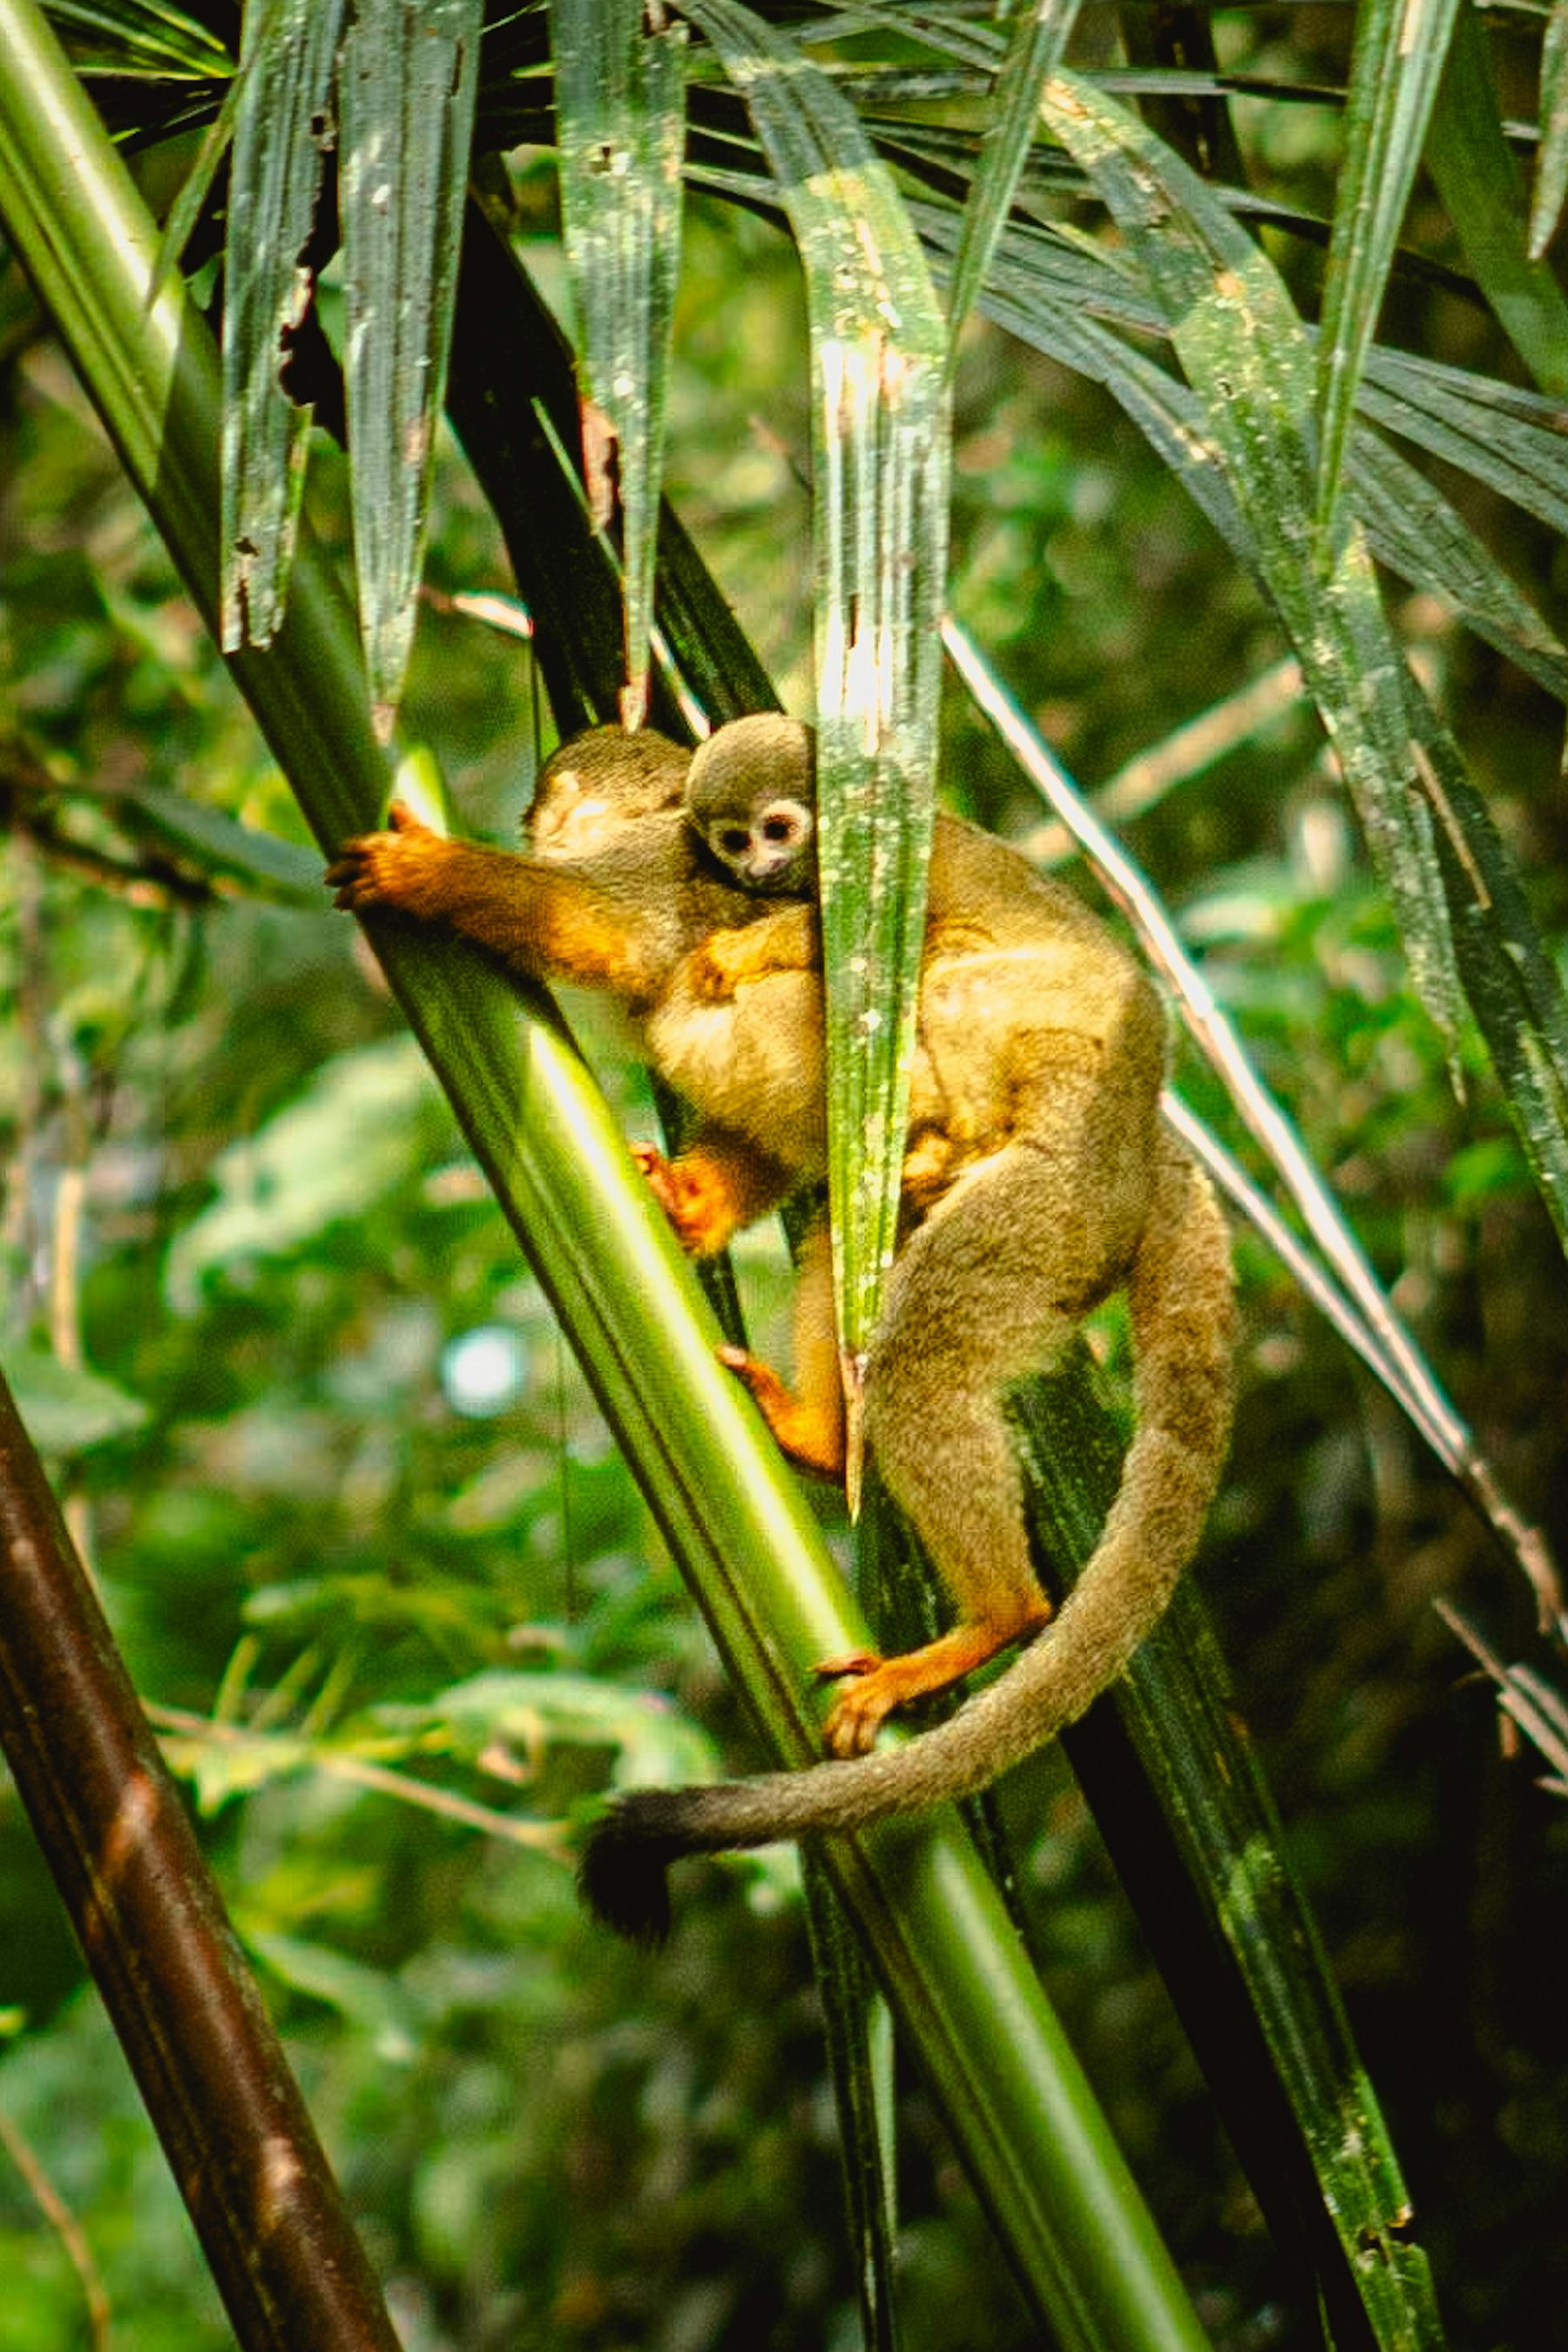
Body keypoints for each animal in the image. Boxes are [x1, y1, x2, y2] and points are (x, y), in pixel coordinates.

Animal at [326, 715, 1235, 1943]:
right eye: (736, 833)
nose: (530, 816)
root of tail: (1144, 1153)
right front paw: (696, 1203)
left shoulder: (664, 870)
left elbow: (602, 925)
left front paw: (426, 872)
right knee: (845, 1241)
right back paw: (819, 1431)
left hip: (1052, 1206)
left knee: (923, 1350)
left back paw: (993, 1616)